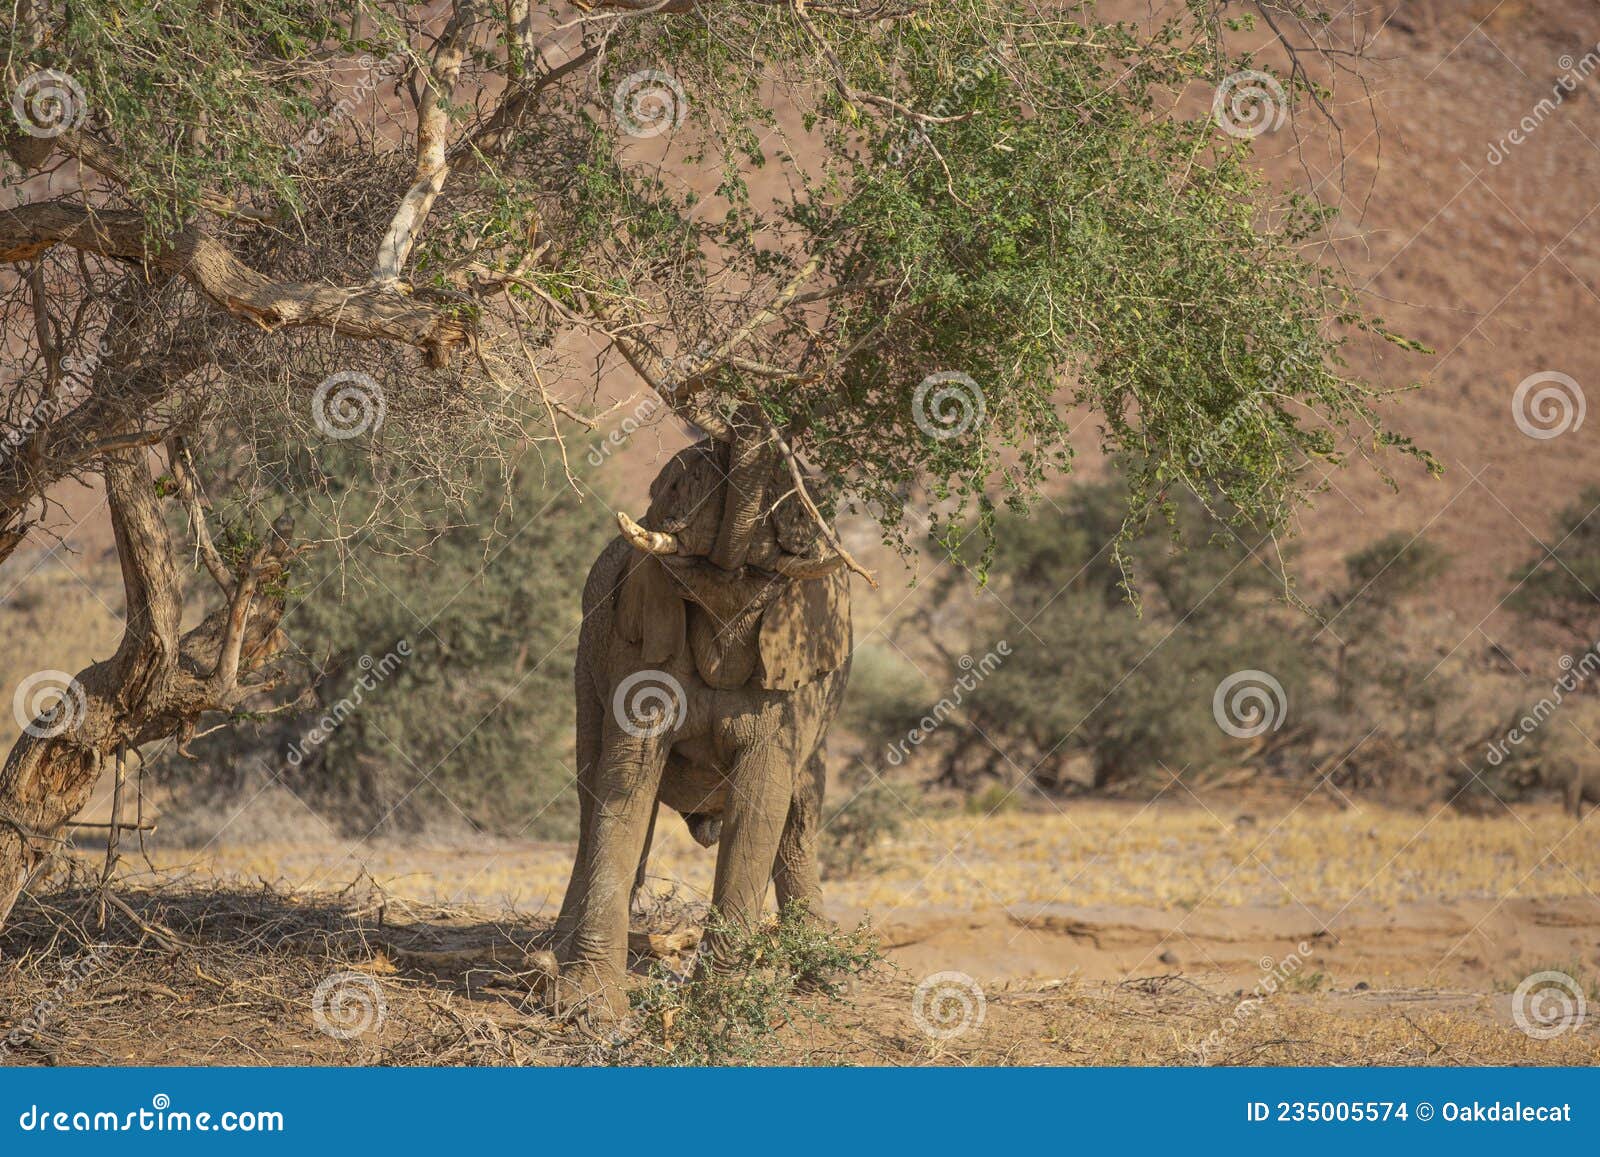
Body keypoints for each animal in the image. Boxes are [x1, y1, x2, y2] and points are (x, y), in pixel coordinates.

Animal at [552, 426, 852, 1016]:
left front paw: (722, 1005)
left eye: (765, 597)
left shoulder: (792, 678)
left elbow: (761, 799)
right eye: (669, 485)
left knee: (798, 820)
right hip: (584, 665)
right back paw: (547, 957)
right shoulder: (637, 643)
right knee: (591, 794)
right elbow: (626, 783)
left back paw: (826, 980)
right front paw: (590, 1009)